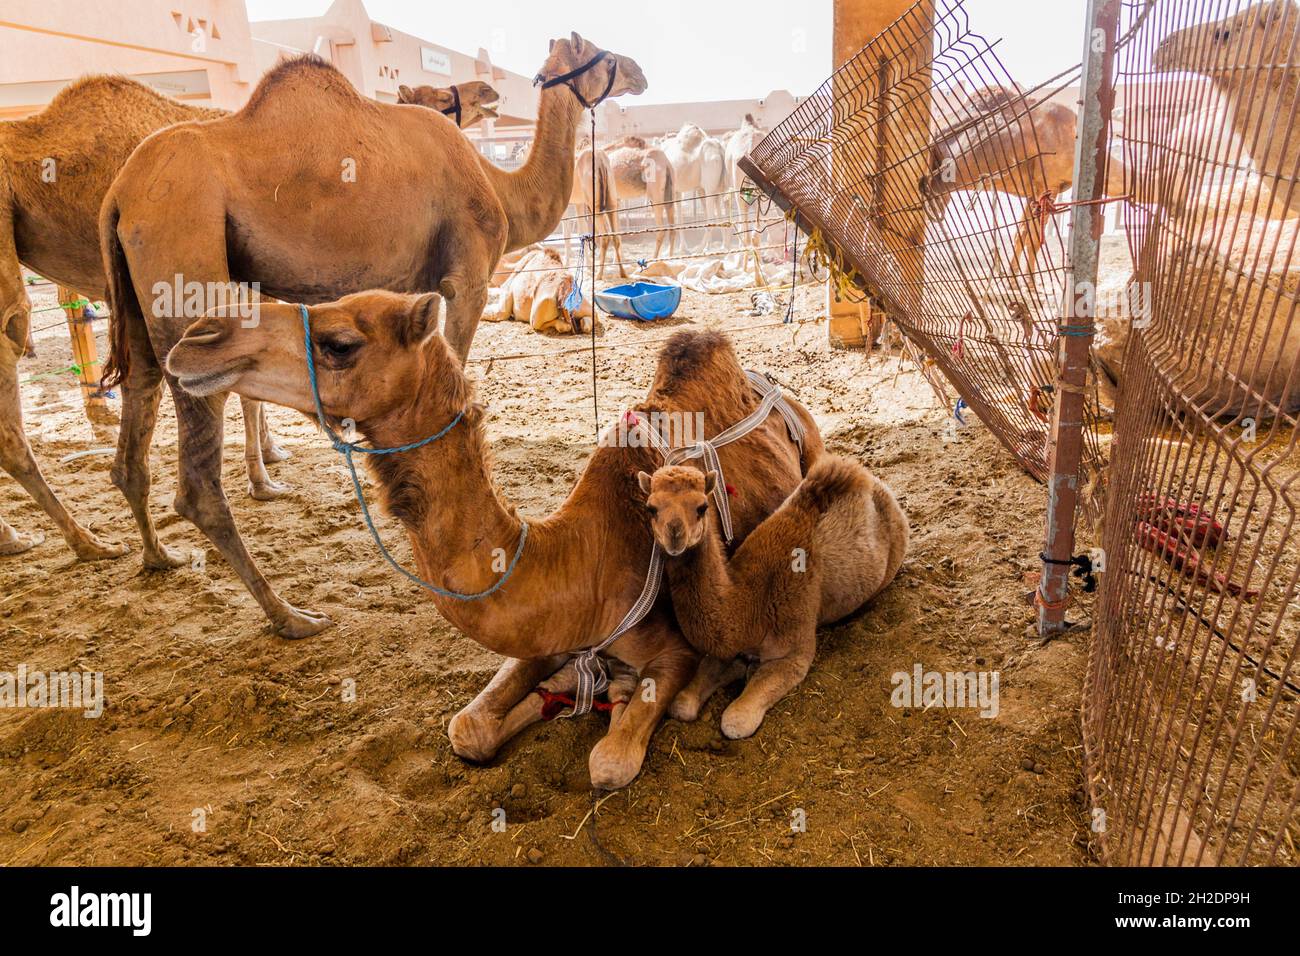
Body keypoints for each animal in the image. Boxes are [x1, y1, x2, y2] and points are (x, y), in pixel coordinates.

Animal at [98, 35, 646, 638]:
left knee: (135, 423)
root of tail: (118, 195)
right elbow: (456, 369)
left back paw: (157, 556)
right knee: (197, 479)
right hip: (183, 255)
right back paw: (291, 616)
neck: (498, 186)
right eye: (604, 54)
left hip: (139, 309)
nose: (639, 71)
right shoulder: (467, 279)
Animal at [163, 291, 825, 788]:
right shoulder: (548, 635)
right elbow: (469, 729)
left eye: (340, 343)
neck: (579, 552)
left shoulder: (672, 650)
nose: (195, 337)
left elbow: (609, 762)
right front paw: (555, 695)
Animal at [639, 456, 907, 738]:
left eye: (702, 507)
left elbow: (735, 721)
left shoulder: (793, 651)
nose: (675, 535)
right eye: (651, 508)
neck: (749, 604)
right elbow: (681, 705)